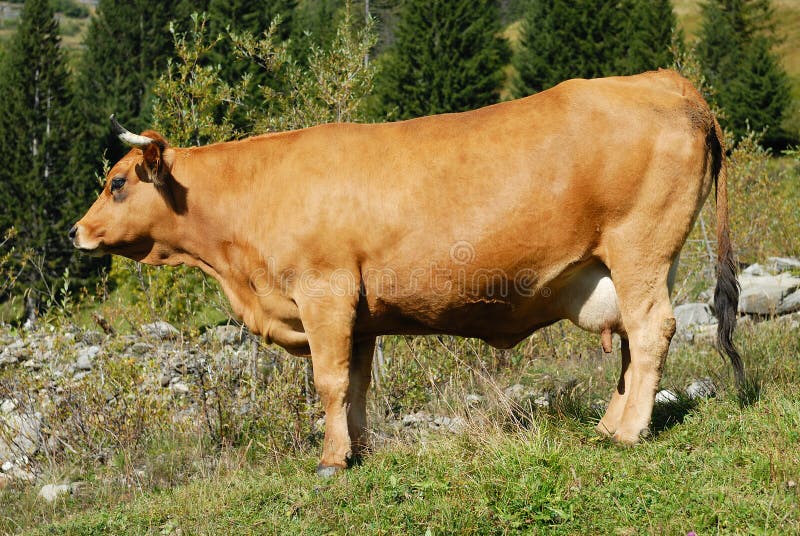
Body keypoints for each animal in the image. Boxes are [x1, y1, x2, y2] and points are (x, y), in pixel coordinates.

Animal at [71, 70, 744, 476]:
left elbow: (329, 383)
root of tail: (668, 82)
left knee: (652, 330)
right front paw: (358, 448)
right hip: (630, 261)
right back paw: (609, 424)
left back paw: (629, 433)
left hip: (640, 247)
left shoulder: (324, 290)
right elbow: (357, 384)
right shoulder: (359, 313)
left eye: (118, 181)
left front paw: (331, 461)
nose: (76, 231)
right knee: (632, 338)